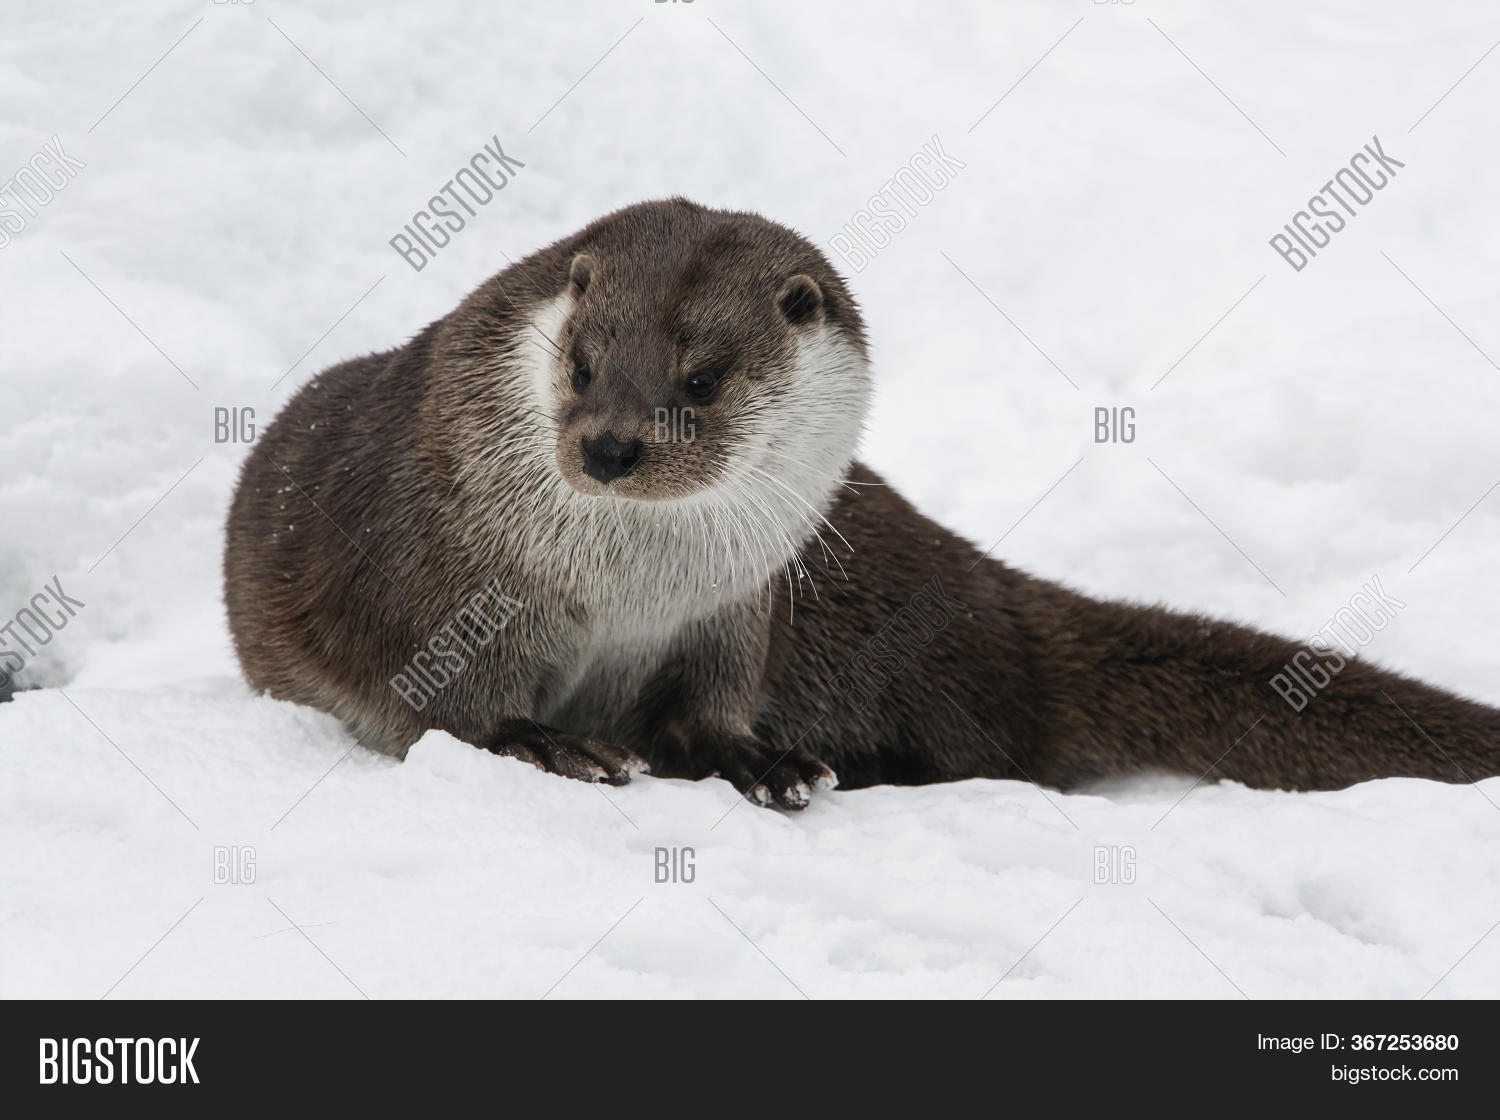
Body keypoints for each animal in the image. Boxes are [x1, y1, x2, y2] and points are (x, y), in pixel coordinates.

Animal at [225, 198, 1500, 808]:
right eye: (580, 364)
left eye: (701, 379)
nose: (608, 445)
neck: (626, 592)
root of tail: (993, 596)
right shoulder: (440, 576)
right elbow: (445, 705)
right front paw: (554, 743)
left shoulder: (735, 608)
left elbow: (708, 710)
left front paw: (758, 761)